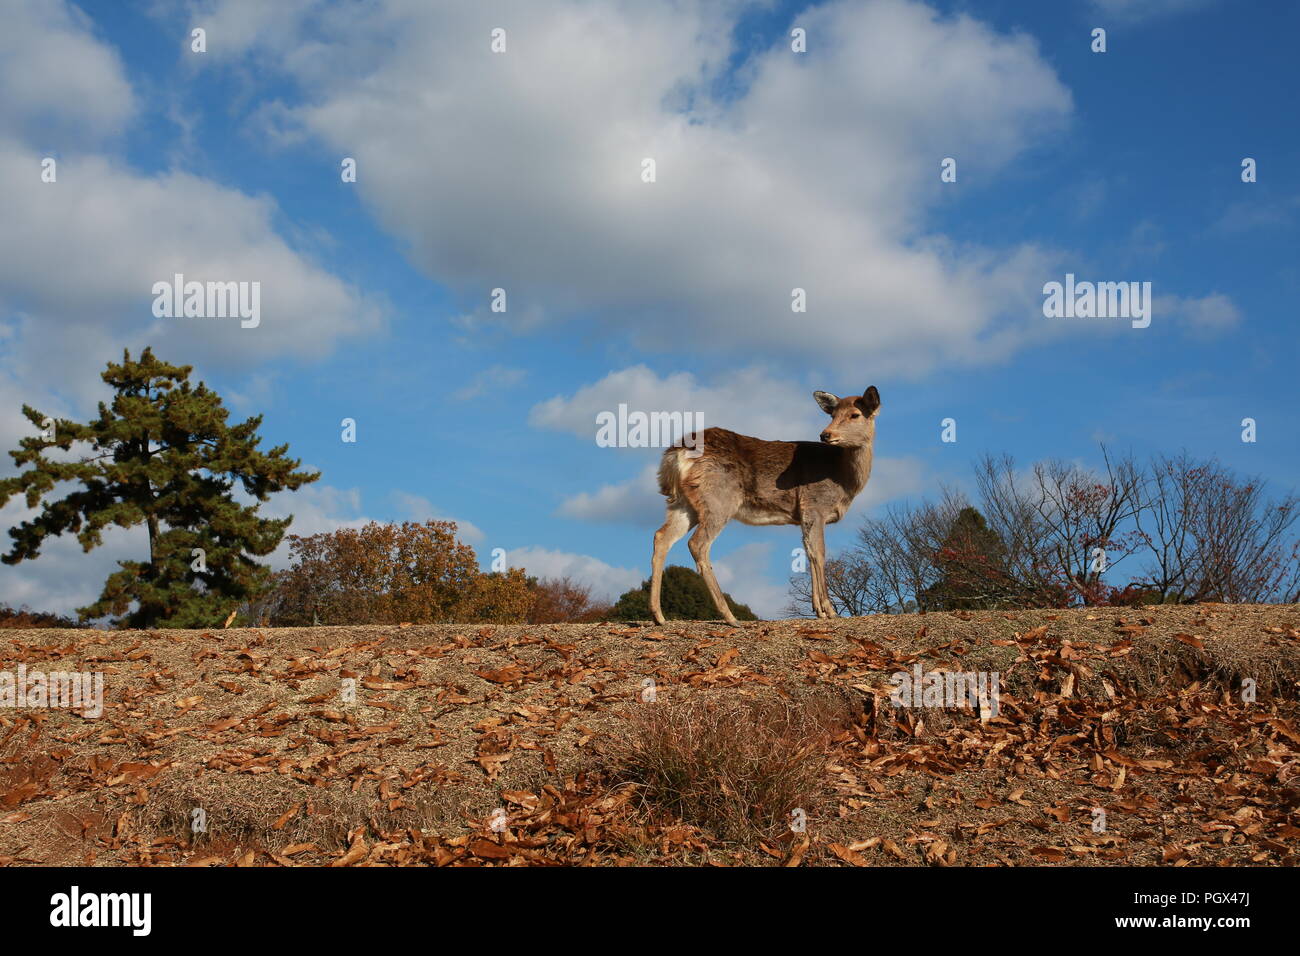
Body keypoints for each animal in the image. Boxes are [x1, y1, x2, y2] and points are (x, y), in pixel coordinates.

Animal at [649, 386, 880, 626]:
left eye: (855, 414)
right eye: (833, 415)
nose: (825, 434)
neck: (842, 479)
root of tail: (675, 455)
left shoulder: (803, 515)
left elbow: (808, 552)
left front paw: (818, 609)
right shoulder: (815, 505)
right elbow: (819, 552)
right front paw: (830, 610)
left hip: (684, 503)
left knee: (661, 537)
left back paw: (658, 615)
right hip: (718, 500)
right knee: (698, 544)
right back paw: (730, 616)